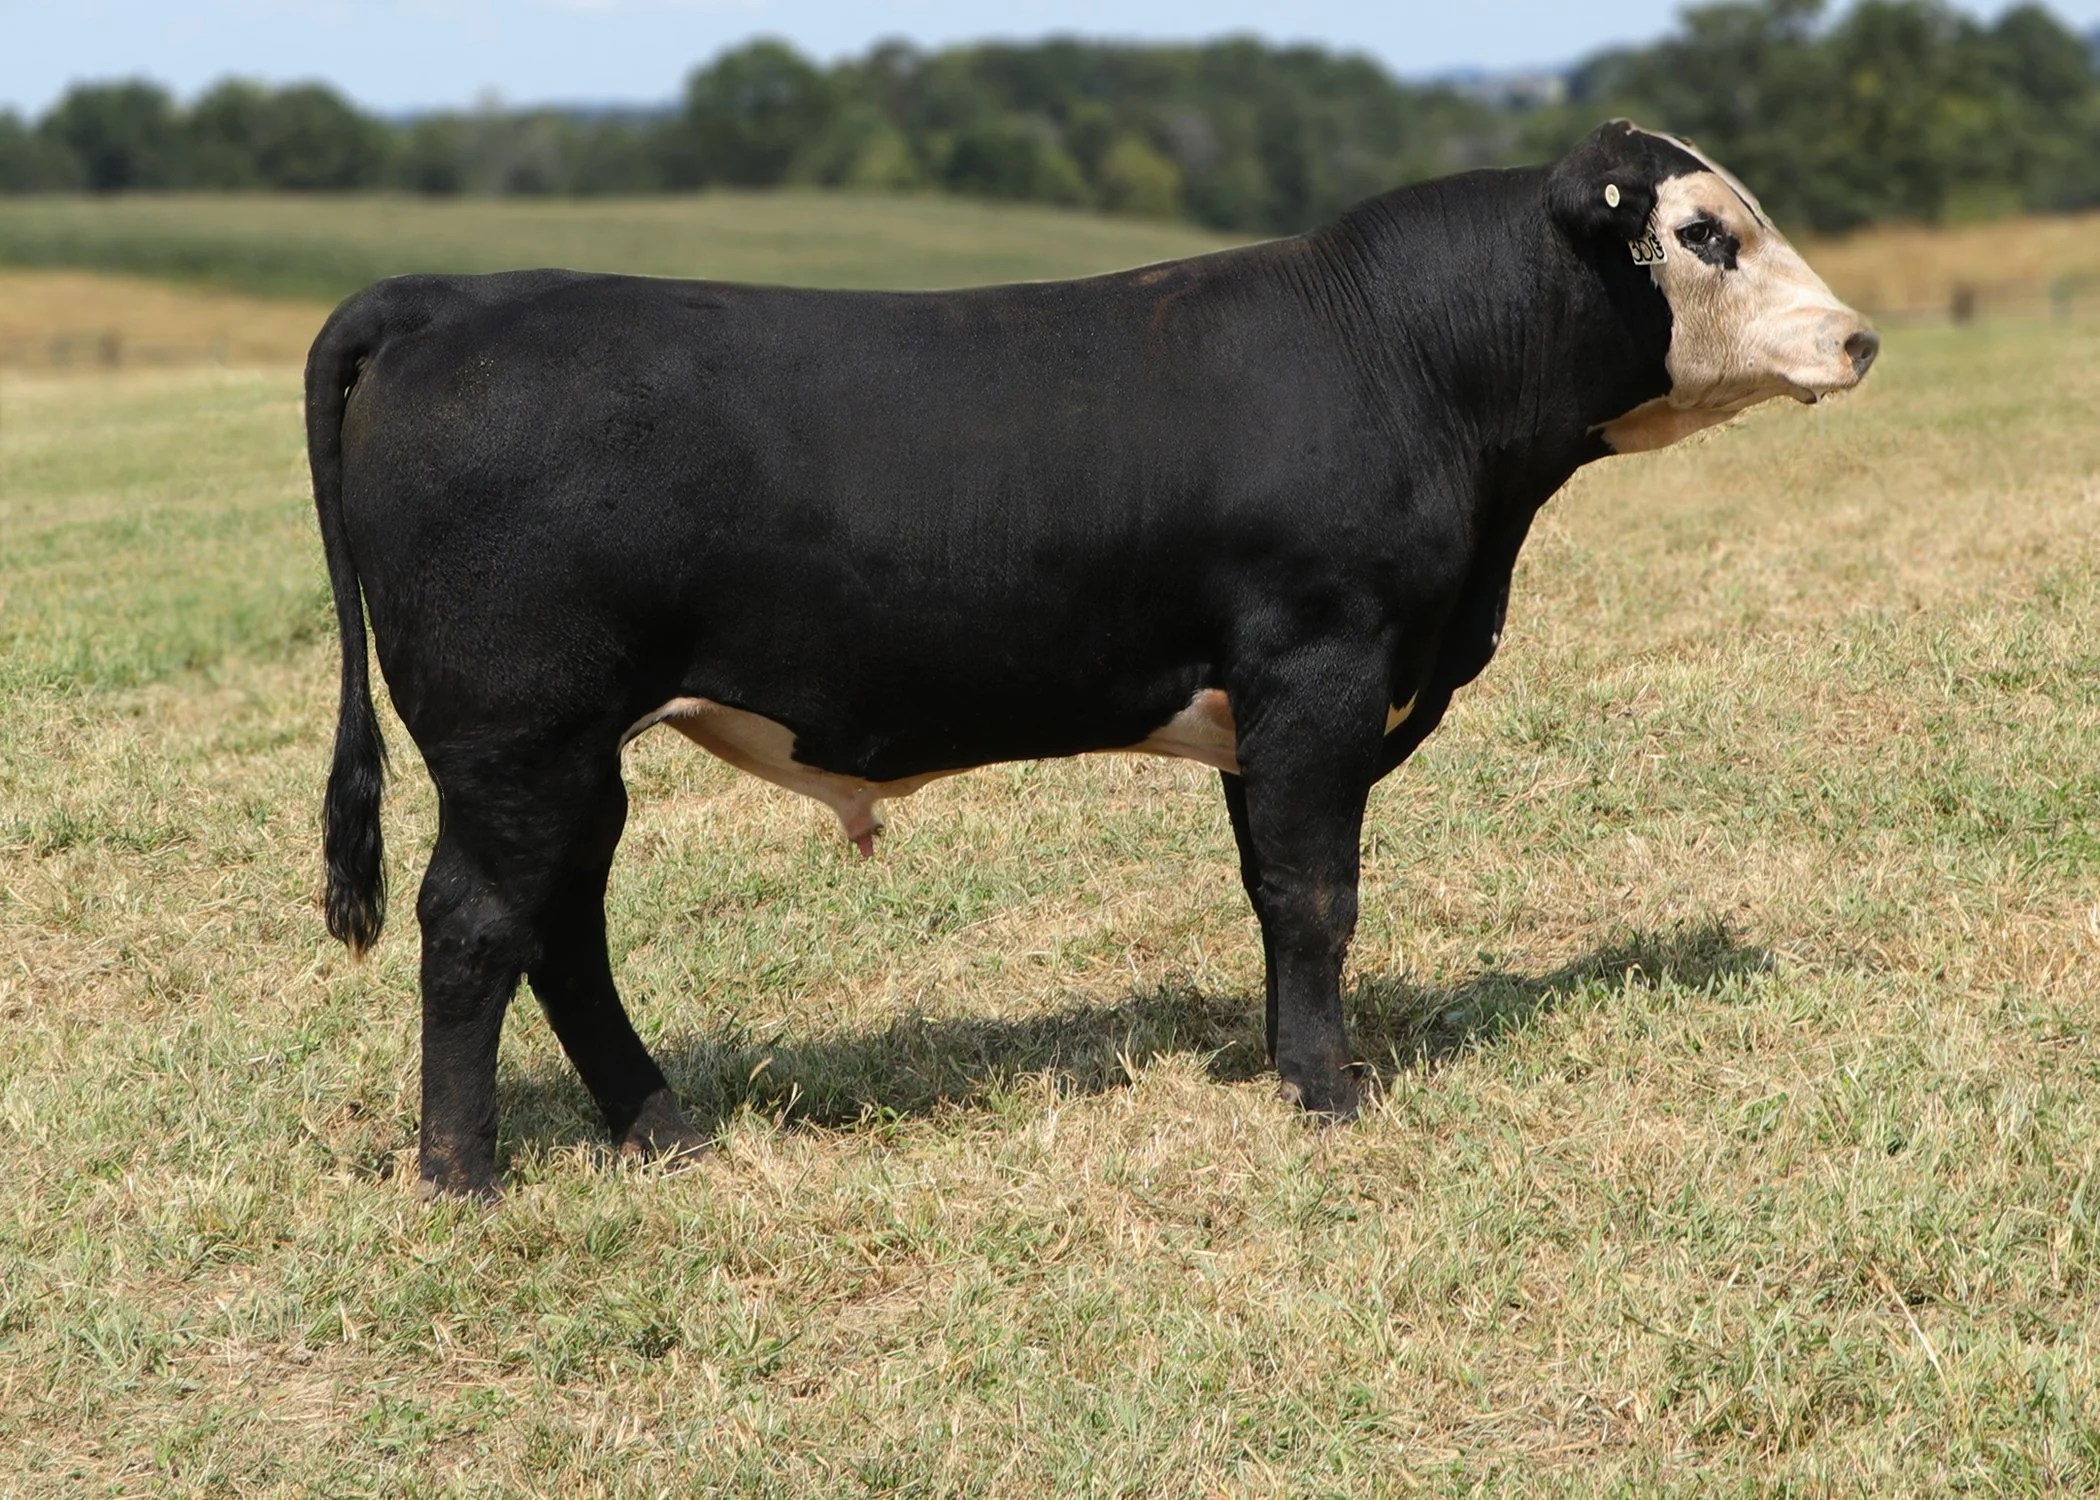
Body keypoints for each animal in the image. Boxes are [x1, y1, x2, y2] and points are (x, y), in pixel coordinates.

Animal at [307, 121, 1877, 1197]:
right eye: (1705, 235)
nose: (1858, 338)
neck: (1401, 358)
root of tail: (449, 297)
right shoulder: (1320, 666)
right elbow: (1319, 895)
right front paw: (1332, 1094)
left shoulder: (1265, 705)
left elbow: (1271, 892)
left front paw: (1288, 1063)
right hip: (518, 734)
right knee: (476, 926)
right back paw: (464, 1174)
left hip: (574, 754)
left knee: (562, 927)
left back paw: (666, 1130)